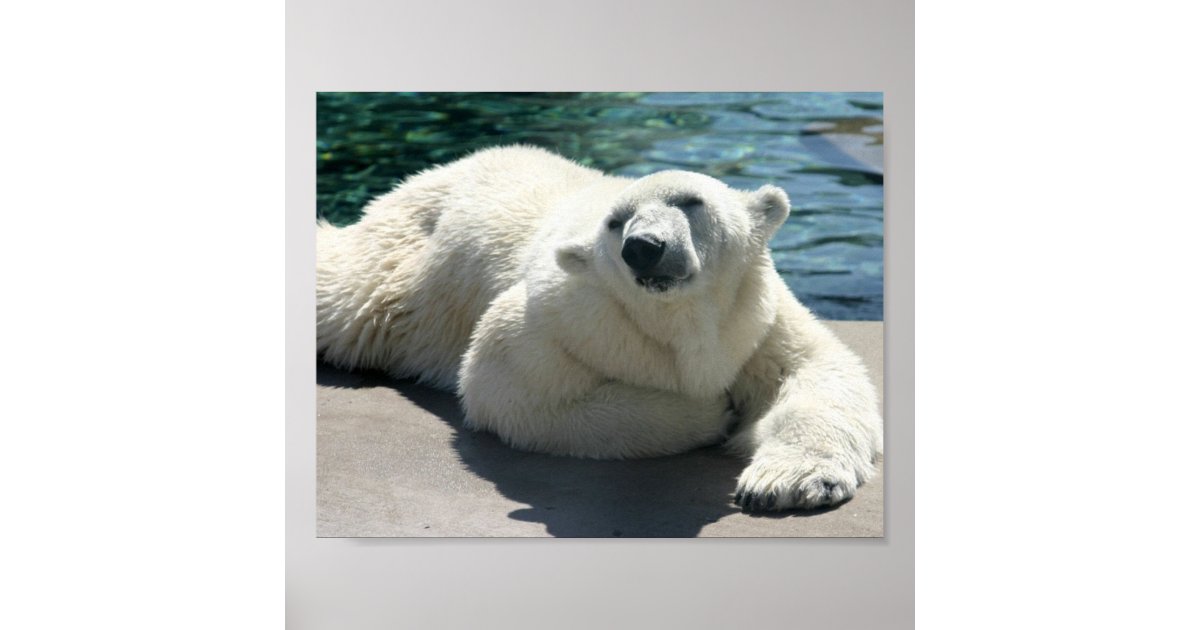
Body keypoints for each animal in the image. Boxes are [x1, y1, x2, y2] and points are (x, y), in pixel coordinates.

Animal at [317, 145, 882, 510]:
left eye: (690, 202)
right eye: (616, 222)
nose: (644, 247)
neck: (677, 317)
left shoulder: (754, 320)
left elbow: (817, 372)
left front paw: (787, 482)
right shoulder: (569, 315)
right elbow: (510, 387)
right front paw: (711, 411)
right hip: (403, 270)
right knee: (343, 292)